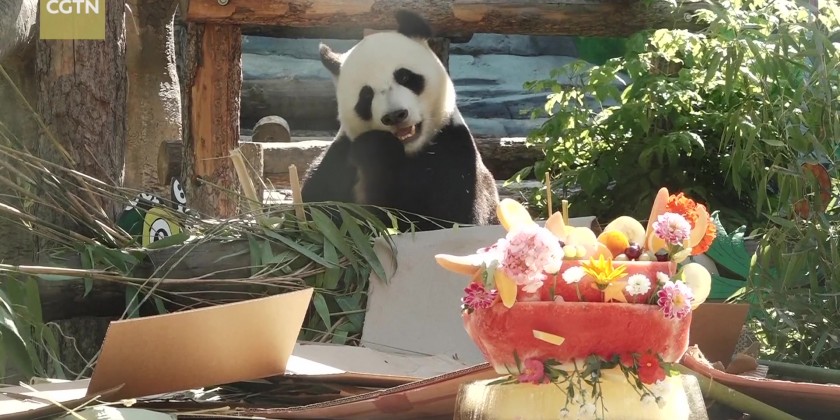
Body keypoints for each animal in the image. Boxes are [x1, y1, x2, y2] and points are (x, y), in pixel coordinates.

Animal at [301, 10, 500, 232]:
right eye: (366, 95)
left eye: (404, 77)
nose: (395, 115)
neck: (409, 152)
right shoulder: (339, 157)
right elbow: (320, 210)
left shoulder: (454, 150)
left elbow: (449, 217)